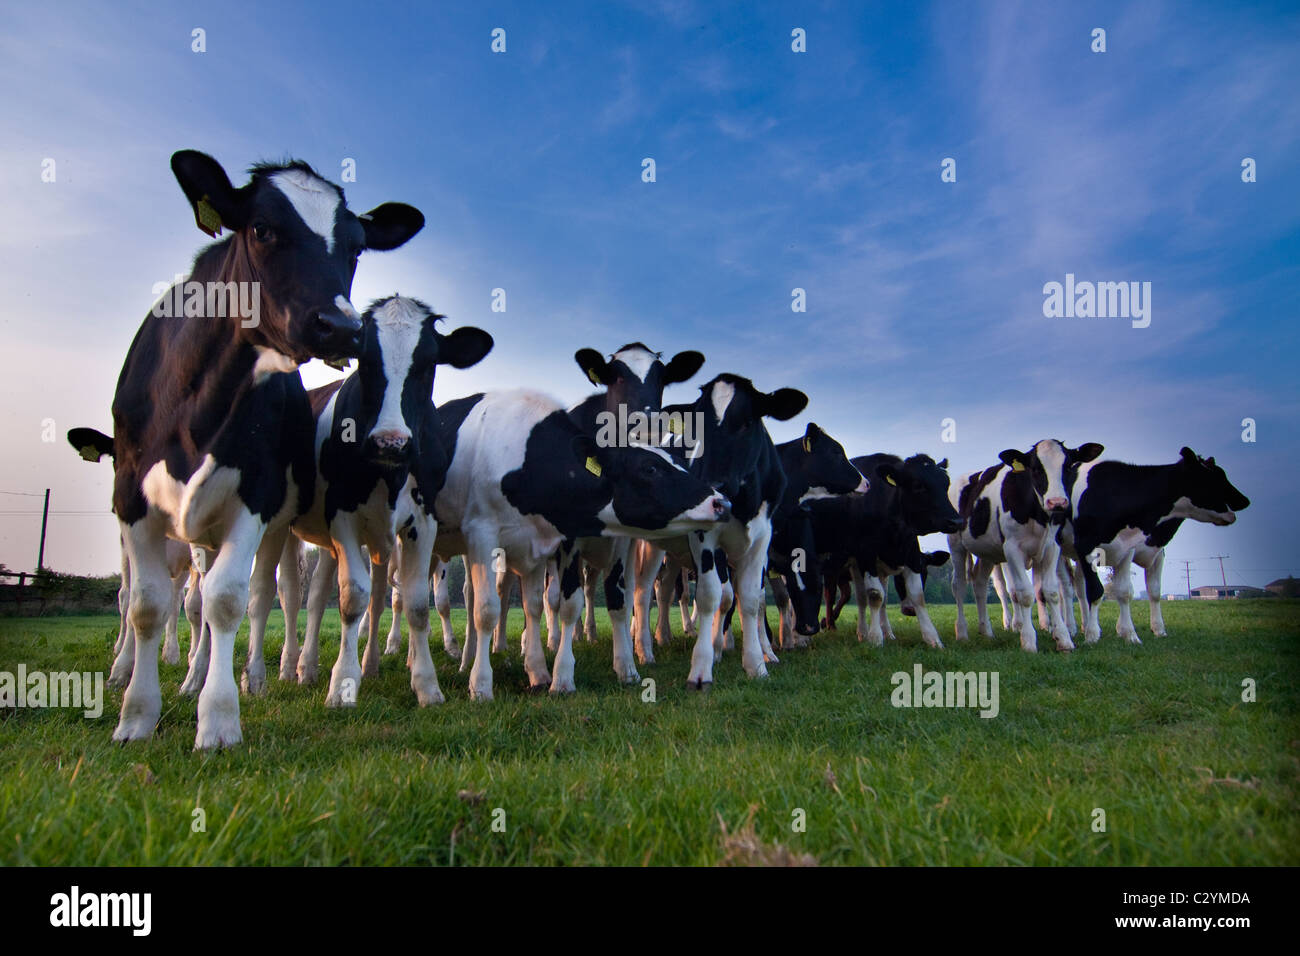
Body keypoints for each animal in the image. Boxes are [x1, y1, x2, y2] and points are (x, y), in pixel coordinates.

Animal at [106, 150, 424, 747]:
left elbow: (229, 599)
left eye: (355, 247)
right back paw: (203, 675)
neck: (198, 398)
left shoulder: (257, 493)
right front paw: (136, 715)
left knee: (271, 595)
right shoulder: (131, 495)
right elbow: (147, 604)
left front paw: (219, 718)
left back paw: (263, 674)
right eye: (262, 229)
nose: (339, 327)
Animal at [431, 388, 733, 699]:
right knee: (469, 598)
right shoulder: (495, 535)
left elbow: (610, 601)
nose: (722, 502)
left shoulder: (602, 546)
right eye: (650, 468)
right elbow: (534, 606)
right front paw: (555, 677)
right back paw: (467, 658)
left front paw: (625, 668)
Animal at [808, 454, 964, 648]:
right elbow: (876, 595)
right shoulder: (866, 554)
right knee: (831, 594)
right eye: (918, 485)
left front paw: (931, 638)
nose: (956, 521)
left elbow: (916, 596)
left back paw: (859, 631)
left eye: (946, 484)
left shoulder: (909, 556)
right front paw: (876, 637)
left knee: (857, 596)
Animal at [948, 440, 1104, 652]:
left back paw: (986, 631)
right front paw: (1028, 640)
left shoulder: (1052, 547)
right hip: (956, 544)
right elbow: (1025, 593)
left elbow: (1052, 592)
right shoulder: (1012, 549)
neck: (1037, 515)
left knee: (980, 583)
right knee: (959, 585)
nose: (1057, 502)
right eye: (1036, 469)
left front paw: (1063, 639)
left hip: (988, 552)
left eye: (1069, 466)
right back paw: (962, 633)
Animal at [1064, 447, 1250, 643]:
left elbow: (1134, 591)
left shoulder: (1137, 550)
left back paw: (1083, 624)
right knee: (1067, 589)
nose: (1245, 501)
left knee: (1078, 586)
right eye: (1212, 477)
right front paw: (1092, 635)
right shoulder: (1086, 547)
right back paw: (1071, 628)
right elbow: (1096, 591)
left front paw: (1139, 632)